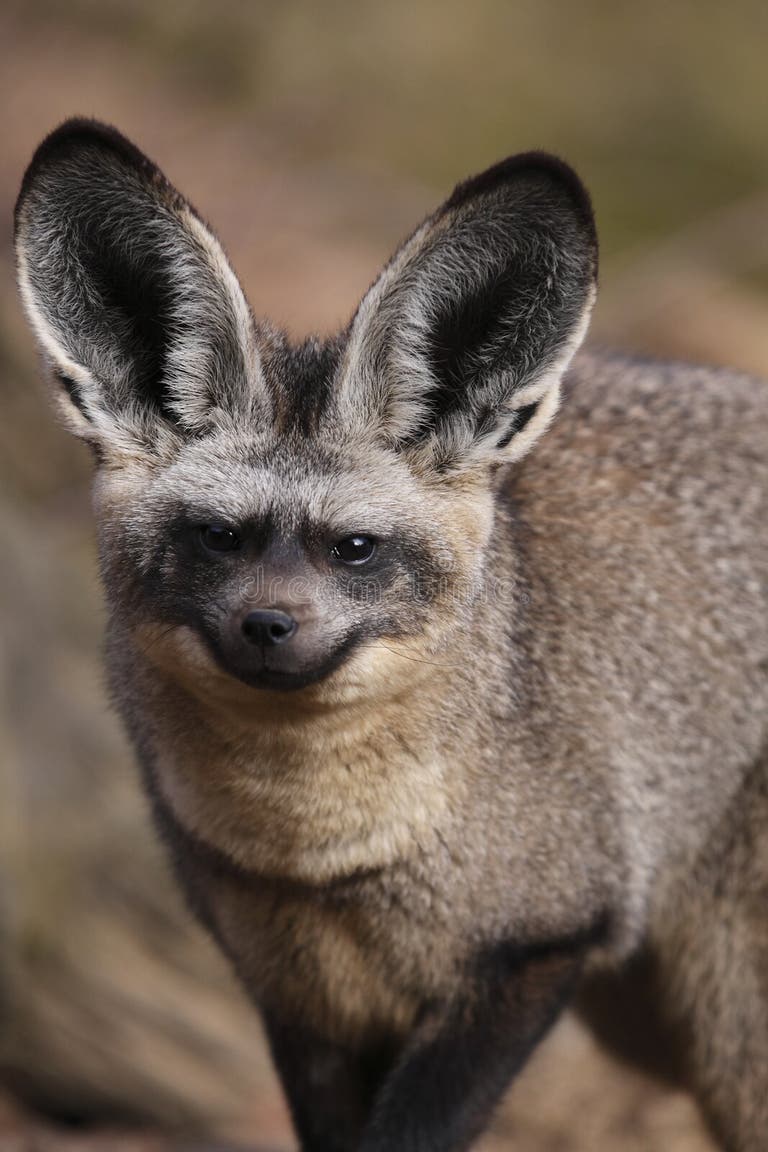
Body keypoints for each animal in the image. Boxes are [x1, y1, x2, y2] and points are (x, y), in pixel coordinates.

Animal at [13, 118, 768, 1152]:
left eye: (356, 549)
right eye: (218, 537)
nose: (268, 625)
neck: (321, 856)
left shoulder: (540, 947)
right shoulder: (303, 1004)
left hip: (727, 1024)